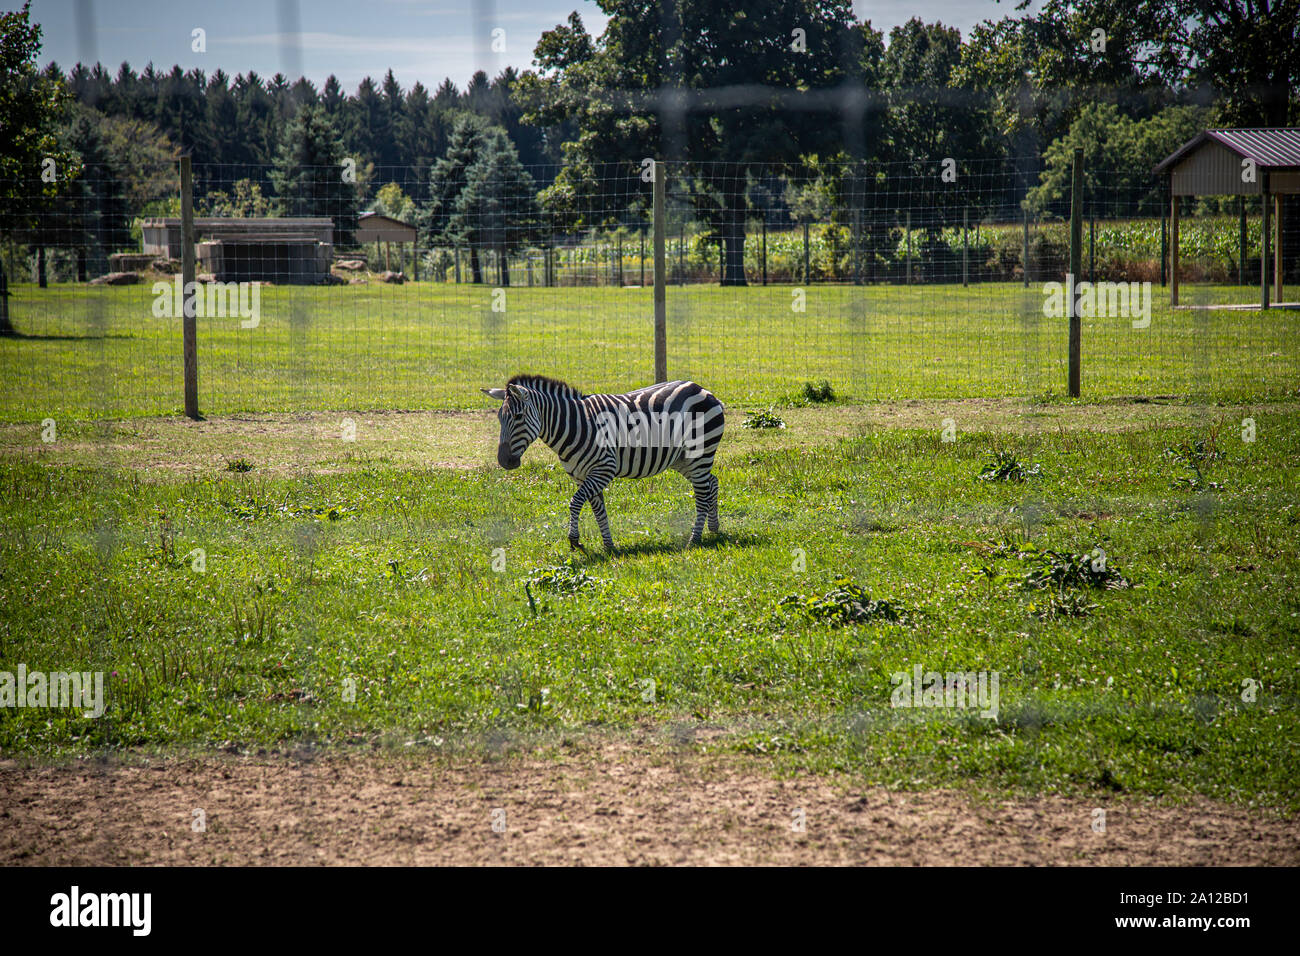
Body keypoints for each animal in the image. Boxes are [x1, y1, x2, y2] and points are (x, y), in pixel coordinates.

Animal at [481, 375, 725, 551]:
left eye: (518, 417)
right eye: (500, 419)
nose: (504, 461)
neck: (576, 425)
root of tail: (703, 389)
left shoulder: (603, 470)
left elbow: (575, 502)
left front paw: (574, 539)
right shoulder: (582, 476)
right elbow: (598, 510)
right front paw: (609, 547)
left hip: (699, 452)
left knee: (702, 493)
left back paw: (694, 539)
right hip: (683, 459)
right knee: (712, 483)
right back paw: (713, 529)